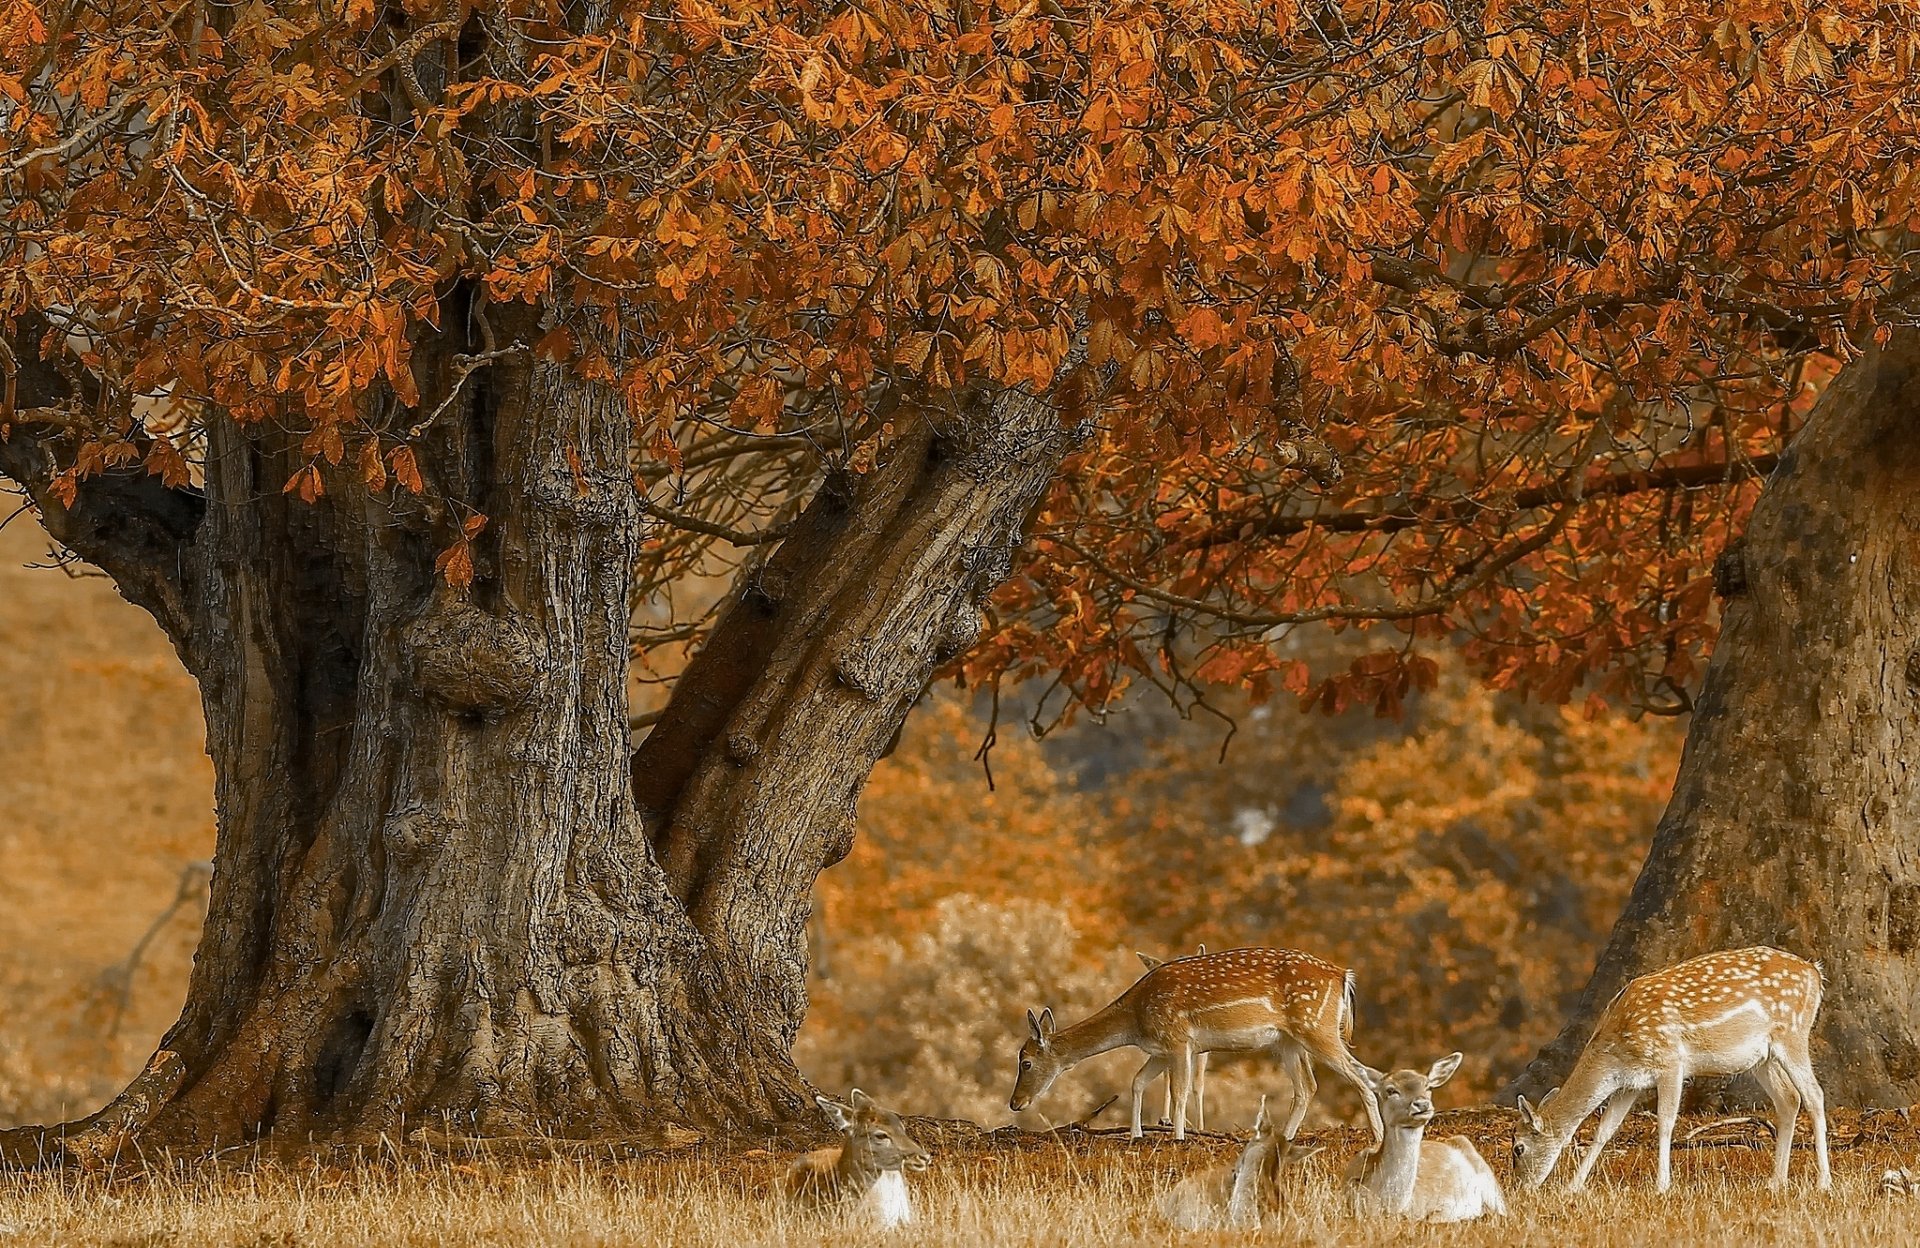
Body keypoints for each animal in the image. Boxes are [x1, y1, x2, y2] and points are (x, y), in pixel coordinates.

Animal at [1011, 946, 1382, 1144]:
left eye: (1026, 1062)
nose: (1015, 1103)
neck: (1135, 1019)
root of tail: (1343, 977)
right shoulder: (1160, 1050)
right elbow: (1137, 1081)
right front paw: (1136, 1135)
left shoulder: (1178, 1039)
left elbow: (1179, 1092)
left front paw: (1178, 1137)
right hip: (1288, 1042)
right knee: (1307, 1086)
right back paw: (1286, 1138)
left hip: (1317, 1028)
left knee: (1360, 1077)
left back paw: (1378, 1137)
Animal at [1511, 946, 1830, 1193]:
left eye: (1518, 1148)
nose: (1522, 1188)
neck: (1616, 1043)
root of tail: (1815, 973)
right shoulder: (1630, 1083)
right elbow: (1605, 1130)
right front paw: (1572, 1187)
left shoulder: (1670, 1062)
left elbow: (1665, 1122)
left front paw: (1662, 1185)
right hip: (1762, 1058)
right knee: (1789, 1099)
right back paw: (1776, 1181)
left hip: (1792, 1032)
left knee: (1814, 1095)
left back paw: (1823, 1182)